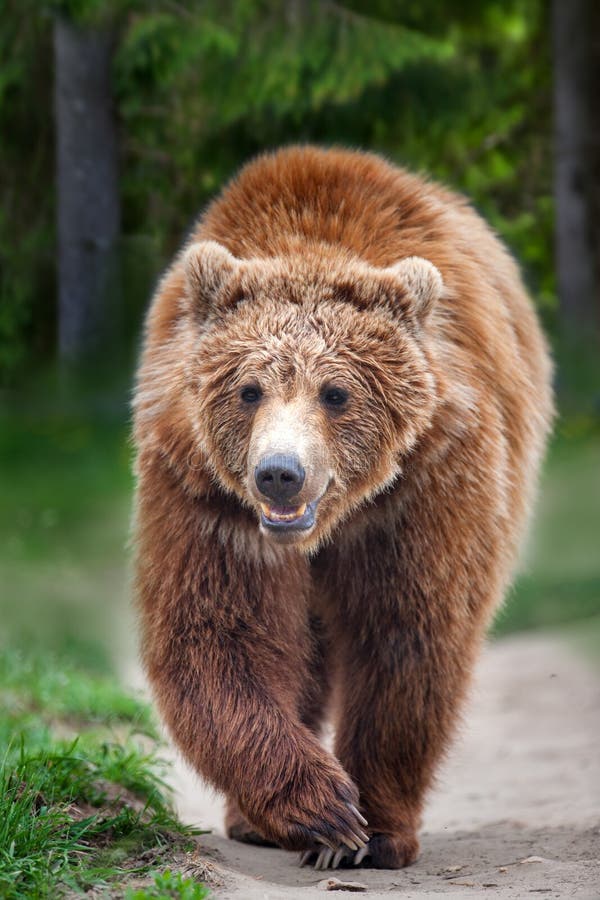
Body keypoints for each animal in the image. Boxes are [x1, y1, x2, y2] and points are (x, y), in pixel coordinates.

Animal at [132, 146, 553, 870]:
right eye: (249, 389)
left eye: (336, 393)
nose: (279, 475)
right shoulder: (205, 496)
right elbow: (220, 633)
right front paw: (322, 810)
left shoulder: (419, 490)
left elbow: (406, 635)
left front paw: (375, 828)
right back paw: (253, 821)